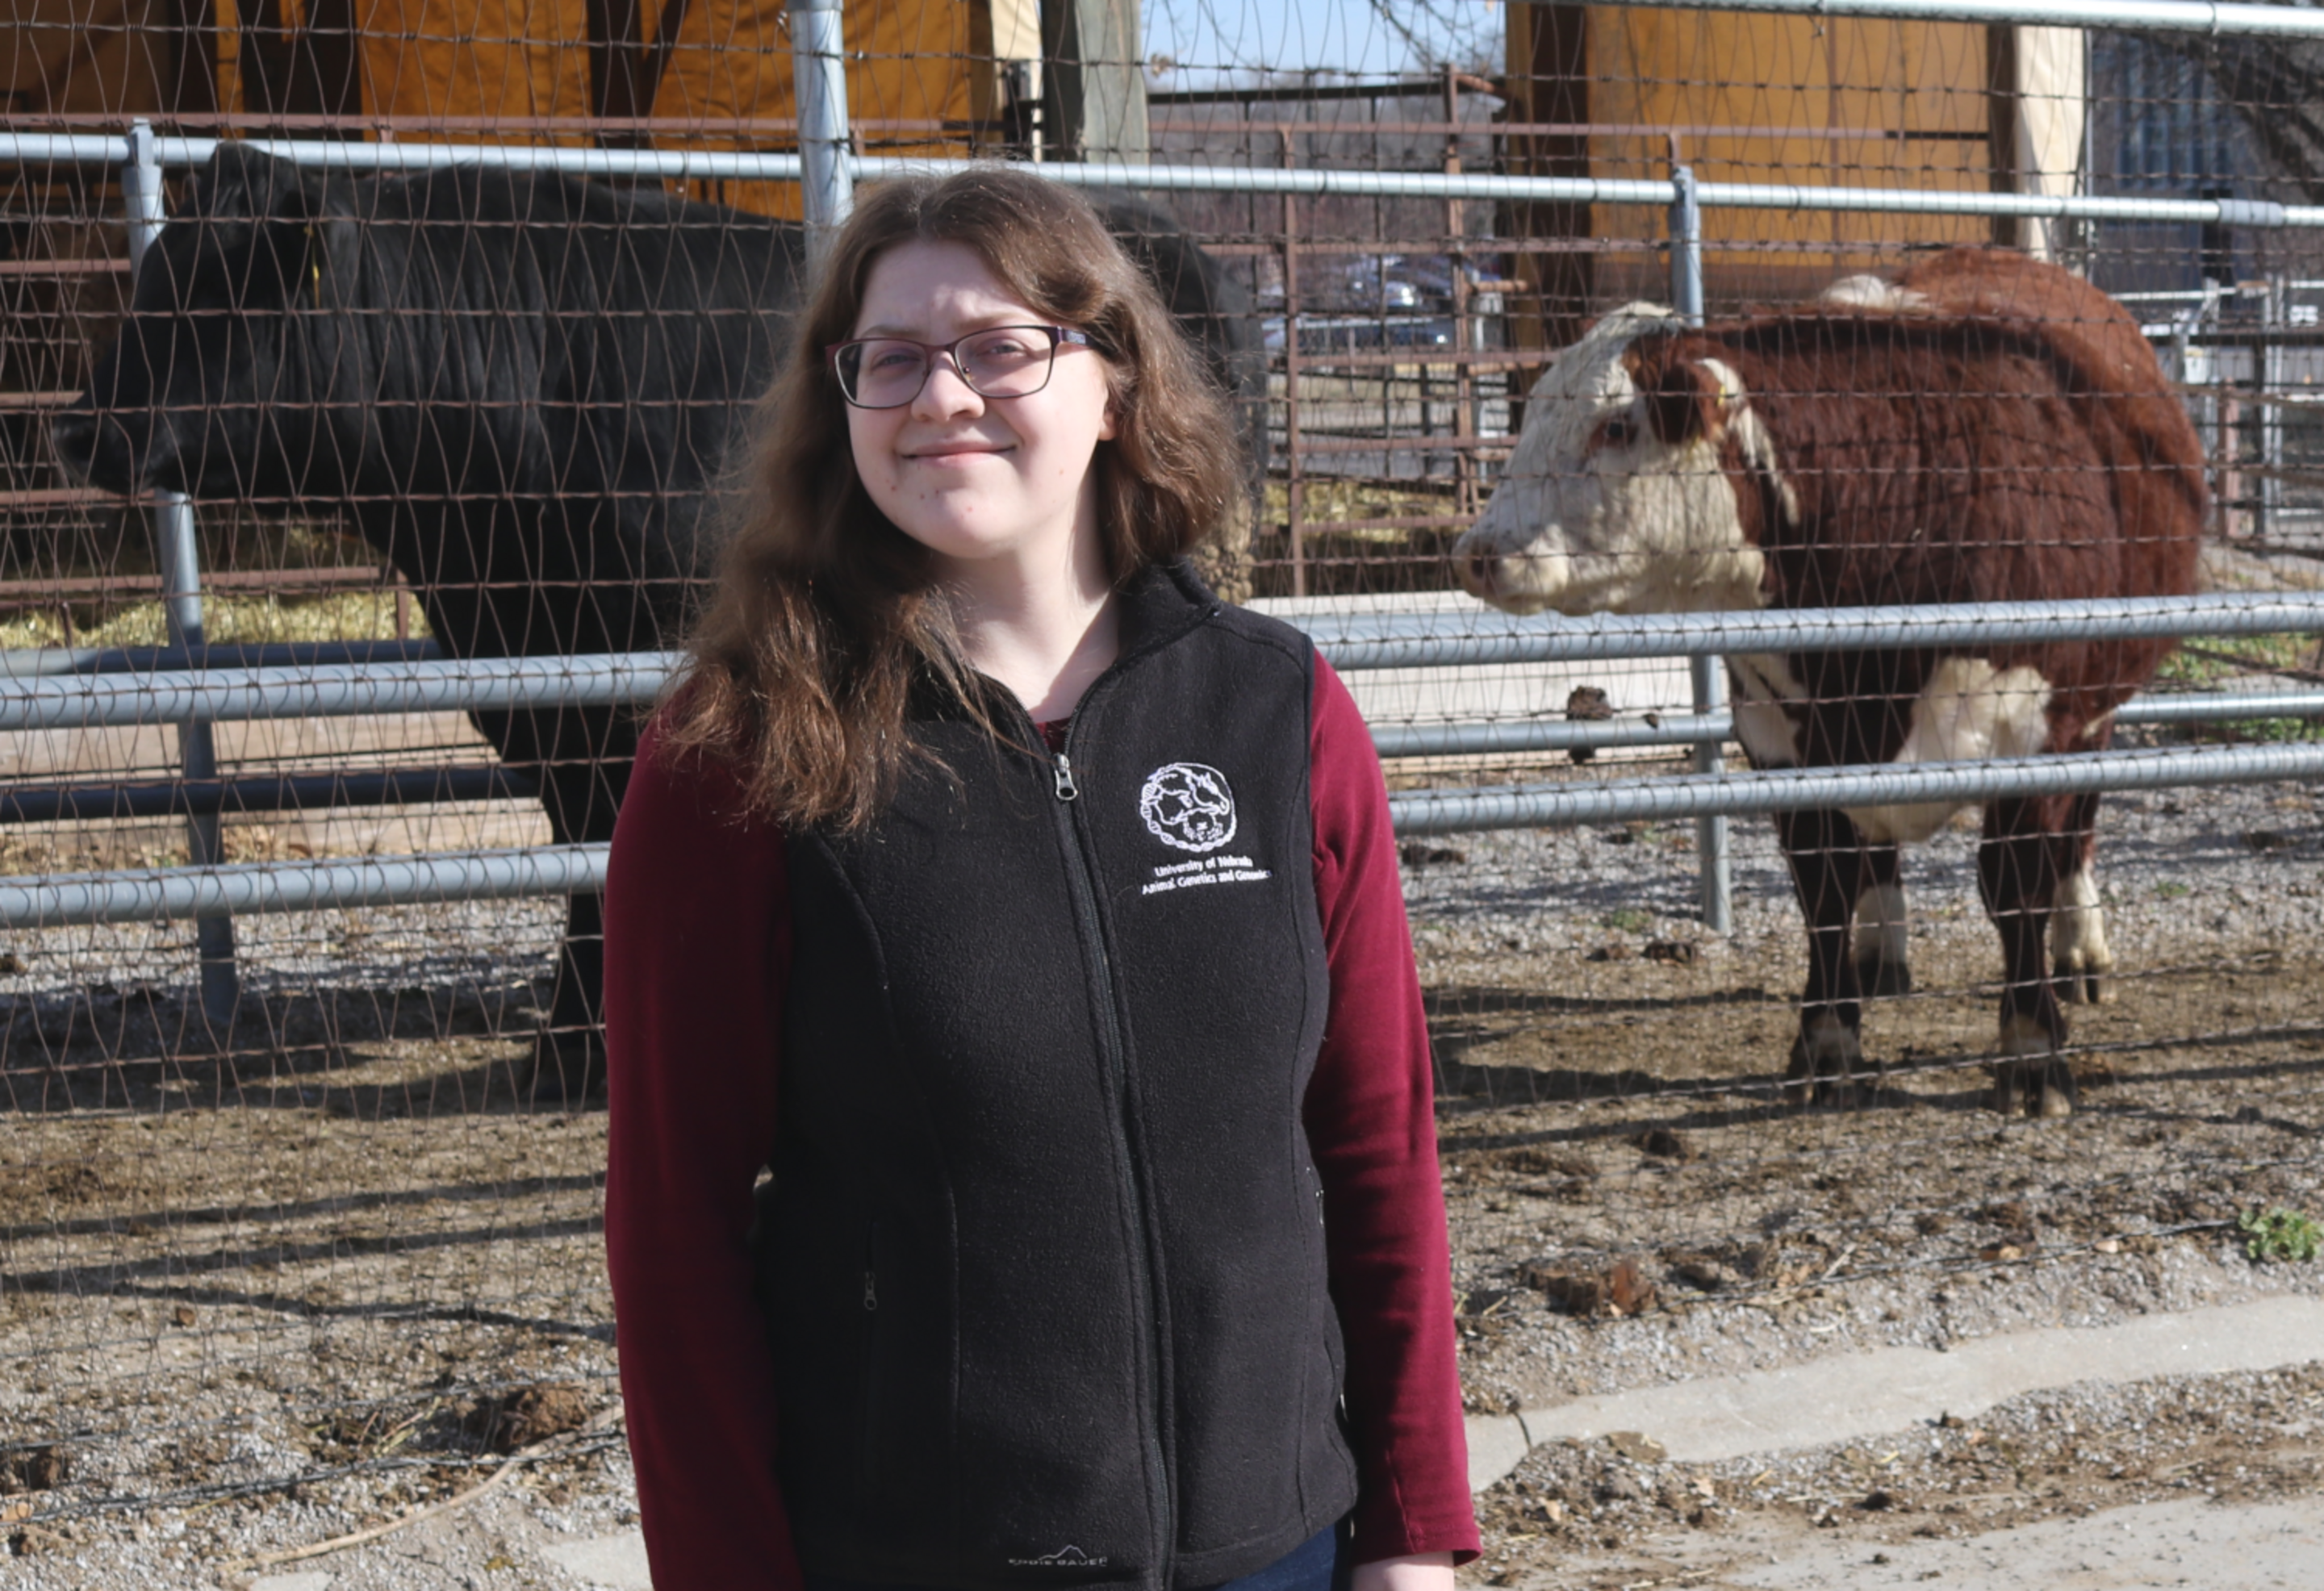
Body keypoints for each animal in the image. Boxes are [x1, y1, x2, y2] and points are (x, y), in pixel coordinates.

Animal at [50, 143, 1266, 1098]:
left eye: (213, 285)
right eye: (154, 273)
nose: (78, 427)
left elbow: (606, 831)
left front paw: (585, 1047)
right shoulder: (524, 671)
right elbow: (578, 833)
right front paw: (569, 1041)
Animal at [1451, 249, 2207, 1119]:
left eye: (1615, 425)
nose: (1478, 551)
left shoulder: (2034, 732)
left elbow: (2016, 888)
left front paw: (2033, 1052)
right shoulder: (1784, 743)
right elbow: (1822, 894)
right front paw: (1827, 1041)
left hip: (2099, 705)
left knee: (2076, 827)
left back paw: (2079, 946)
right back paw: (1880, 955)